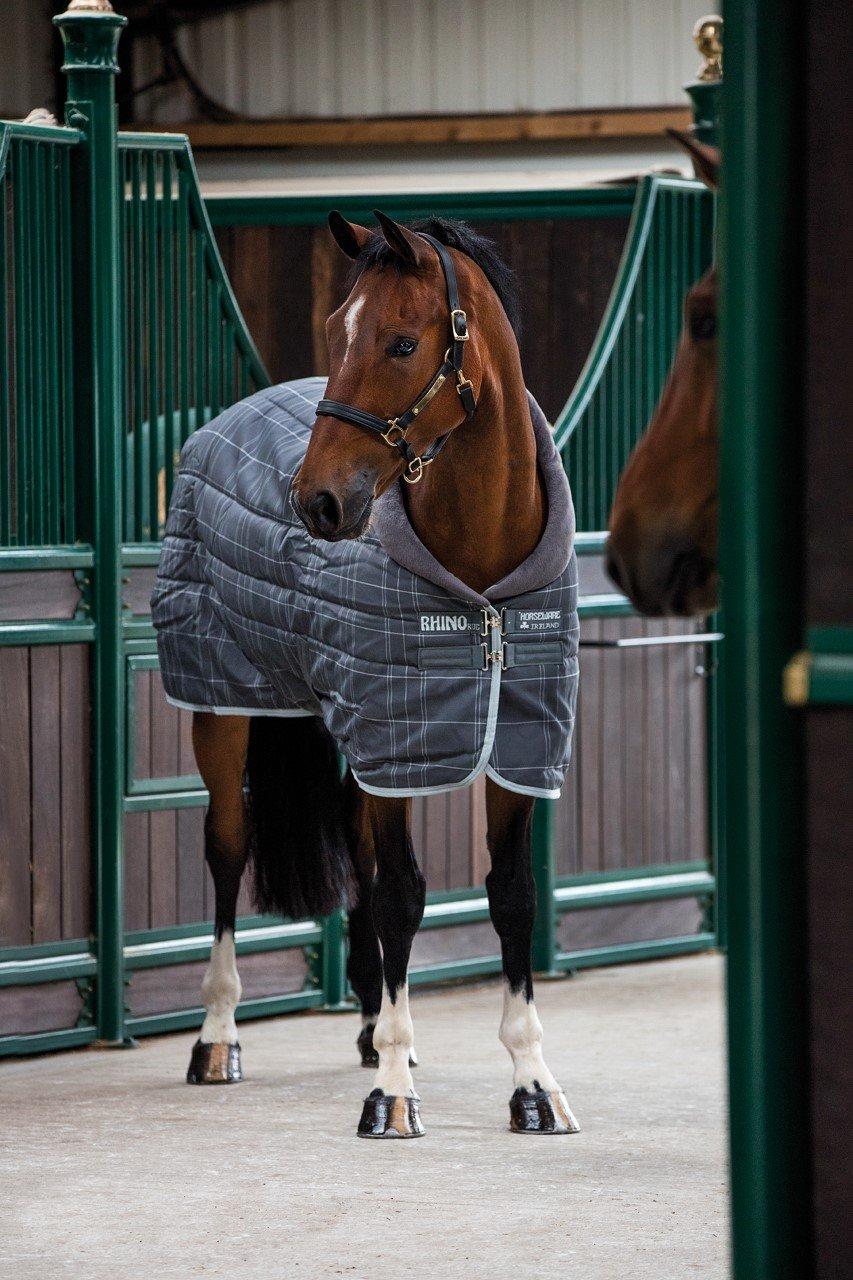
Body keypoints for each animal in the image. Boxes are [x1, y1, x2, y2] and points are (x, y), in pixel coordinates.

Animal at [152, 211, 581, 1138]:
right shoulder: (399, 743)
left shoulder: (511, 749)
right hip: (223, 711)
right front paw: (390, 1096)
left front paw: (531, 1084)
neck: (480, 586)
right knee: (227, 851)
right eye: (334, 330)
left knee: (354, 854)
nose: (316, 502)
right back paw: (217, 1039)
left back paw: (368, 1023)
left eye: (401, 341)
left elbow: (510, 897)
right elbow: (403, 895)